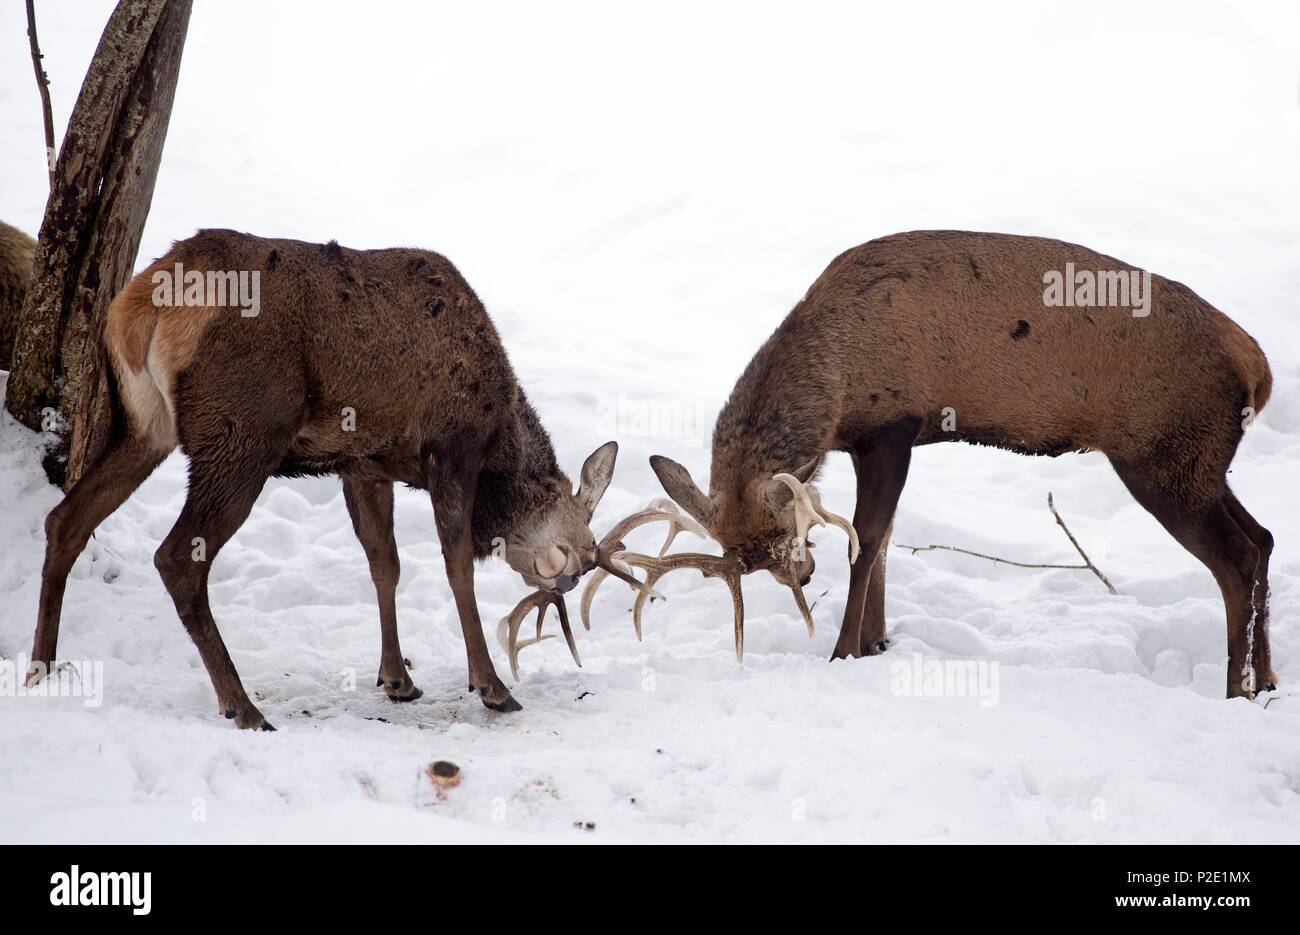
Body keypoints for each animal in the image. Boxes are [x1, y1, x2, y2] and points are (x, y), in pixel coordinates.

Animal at [25, 228, 651, 728]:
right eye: (583, 548)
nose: (566, 577)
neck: (501, 436)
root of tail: (138, 308)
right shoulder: (451, 447)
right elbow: (455, 566)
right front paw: (490, 687)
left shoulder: (365, 464)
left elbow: (384, 563)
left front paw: (397, 678)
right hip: (242, 430)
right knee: (176, 556)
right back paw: (243, 707)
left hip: (145, 427)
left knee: (65, 519)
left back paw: (42, 670)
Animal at [588, 230, 1276, 700]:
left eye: (787, 537)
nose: (801, 574)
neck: (835, 382)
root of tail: (1257, 366)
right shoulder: (885, 440)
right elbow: (886, 538)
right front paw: (876, 643)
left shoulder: (890, 428)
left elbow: (866, 541)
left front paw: (844, 652)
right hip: (1203, 462)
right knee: (1264, 538)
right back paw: (1266, 680)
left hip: (1163, 457)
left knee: (1236, 559)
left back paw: (1236, 688)